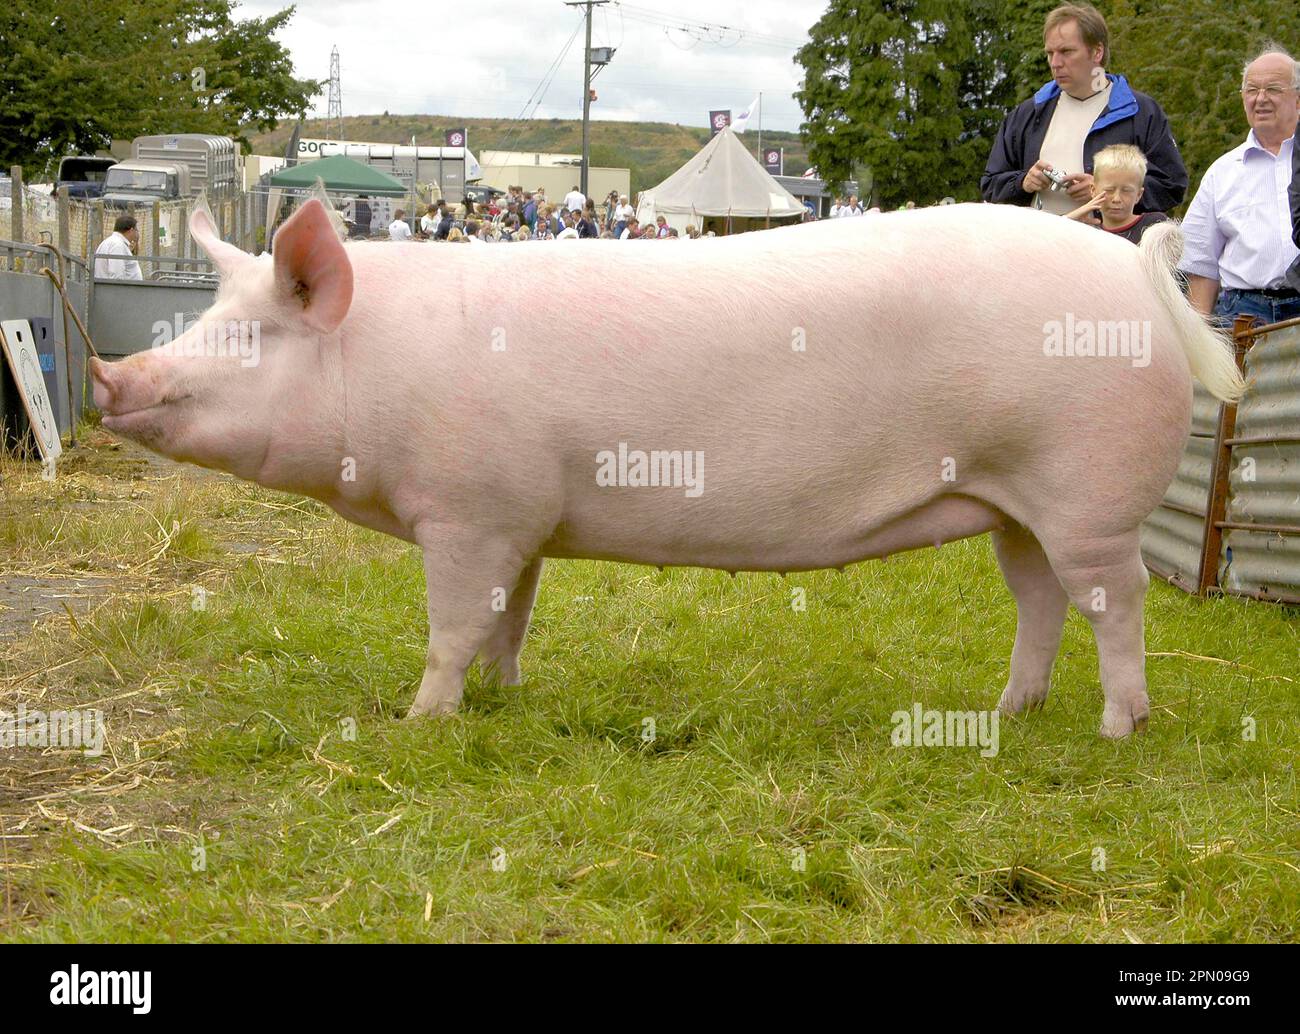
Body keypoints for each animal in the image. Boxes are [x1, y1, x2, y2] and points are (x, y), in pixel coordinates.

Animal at [90, 199, 1244, 738]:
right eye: (208, 317)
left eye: (248, 336)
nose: (109, 372)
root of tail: (1141, 279)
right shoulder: (523, 515)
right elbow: (512, 618)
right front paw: (508, 697)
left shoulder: (467, 512)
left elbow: (453, 626)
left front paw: (418, 721)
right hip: (1015, 504)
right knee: (1040, 598)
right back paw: (1011, 713)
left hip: (1090, 493)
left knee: (1116, 600)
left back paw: (1118, 728)